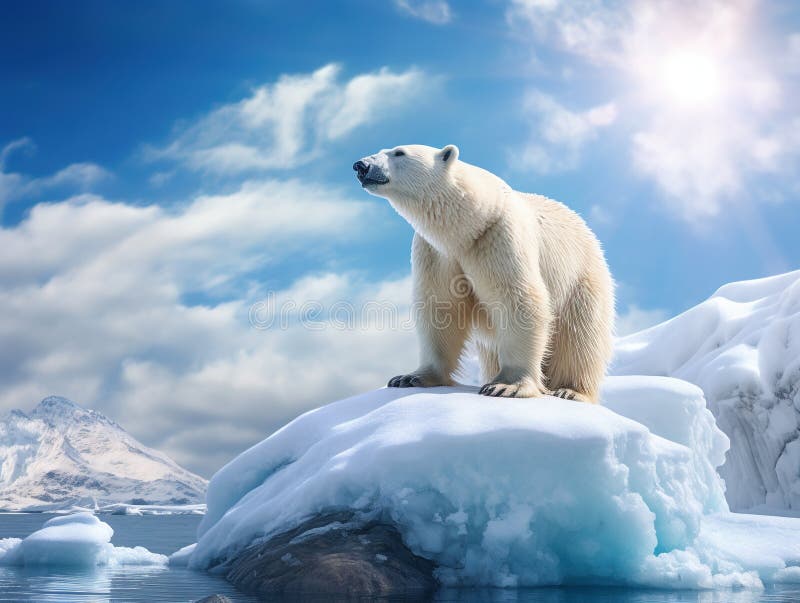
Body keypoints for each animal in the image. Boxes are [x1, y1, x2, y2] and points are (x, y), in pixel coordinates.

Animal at [353, 144, 614, 403]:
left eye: (399, 153)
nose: (360, 165)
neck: (471, 225)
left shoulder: (498, 236)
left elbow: (518, 300)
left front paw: (506, 386)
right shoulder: (436, 252)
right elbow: (440, 308)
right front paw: (410, 378)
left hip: (582, 280)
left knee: (580, 339)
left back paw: (571, 390)